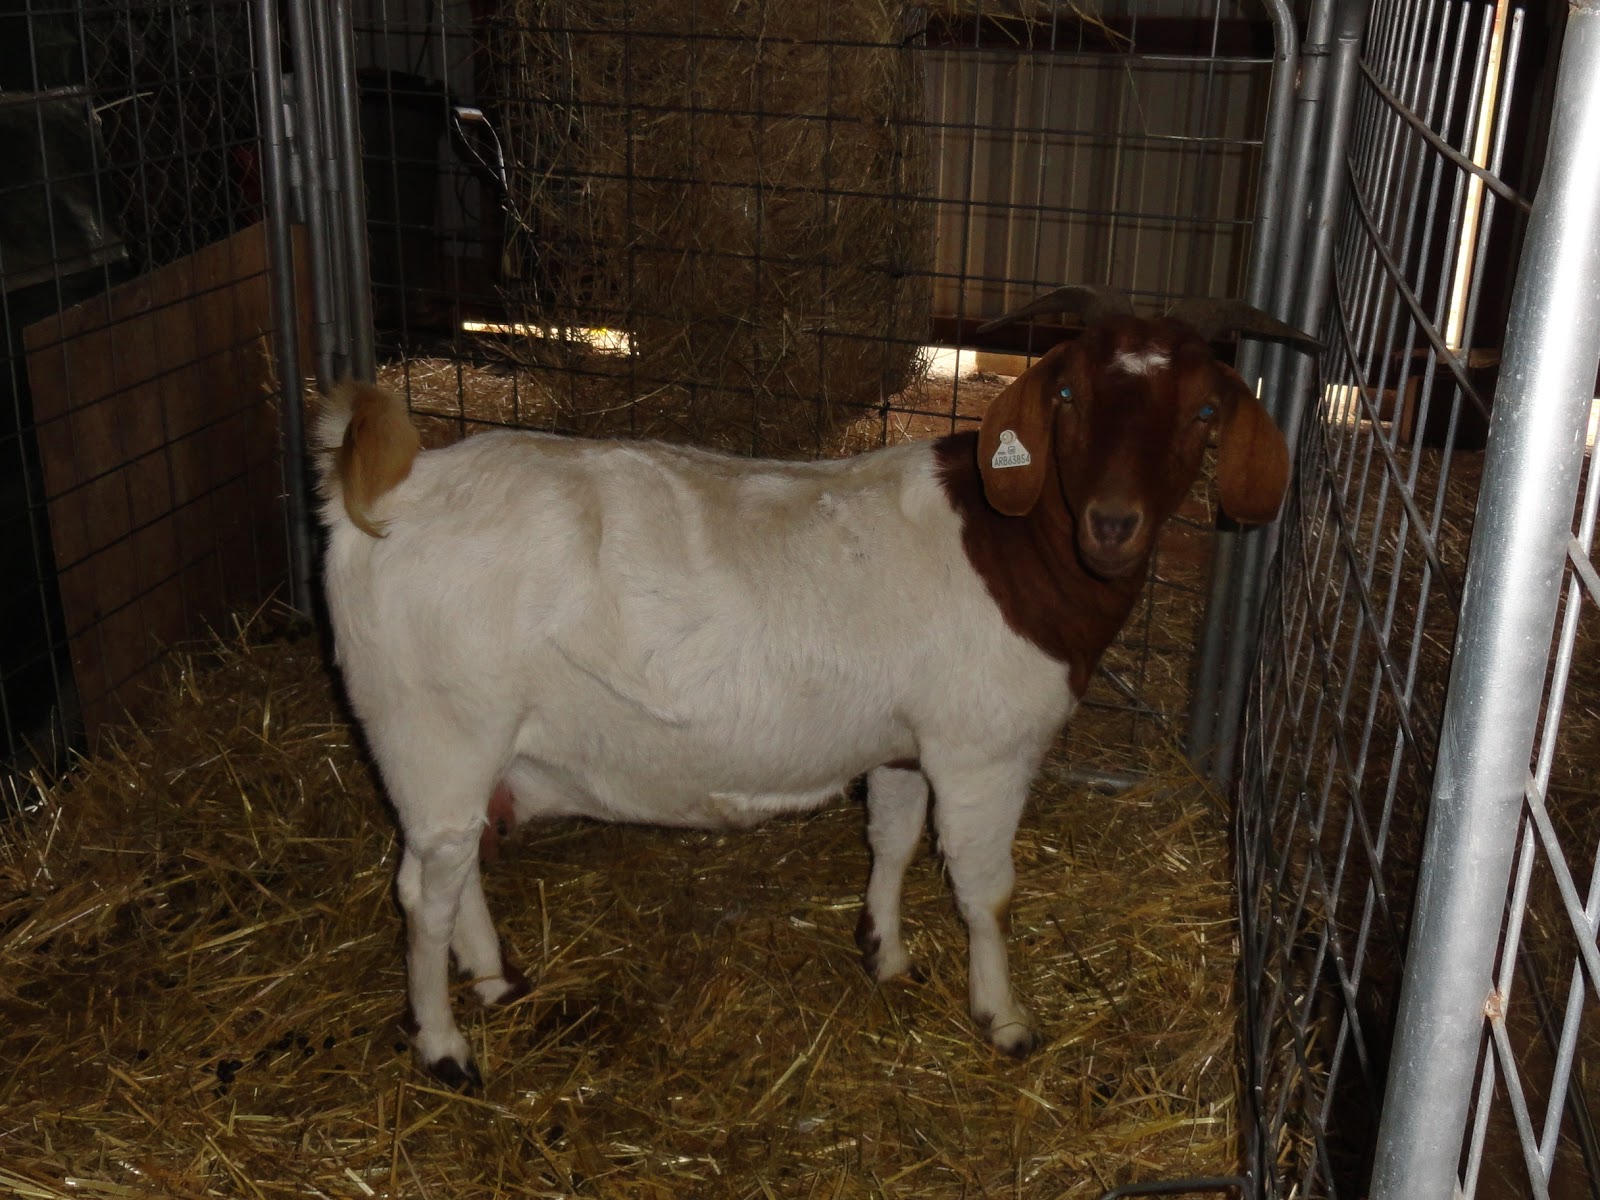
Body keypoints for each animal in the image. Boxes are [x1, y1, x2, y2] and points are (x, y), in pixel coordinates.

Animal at [315, 285, 1313, 1088]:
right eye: (1066, 394)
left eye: (1205, 409)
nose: (1112, 524)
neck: (1012, 547)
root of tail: (393, 492)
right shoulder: (984, 749)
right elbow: (984, 888)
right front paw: (1005, 1018)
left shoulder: (907, 742)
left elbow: (894, 840)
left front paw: (886, 951)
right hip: (438, 732)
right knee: (423, 891)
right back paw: (444, 1045)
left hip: (463, 752)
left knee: (454, 869)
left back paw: (494, 980)